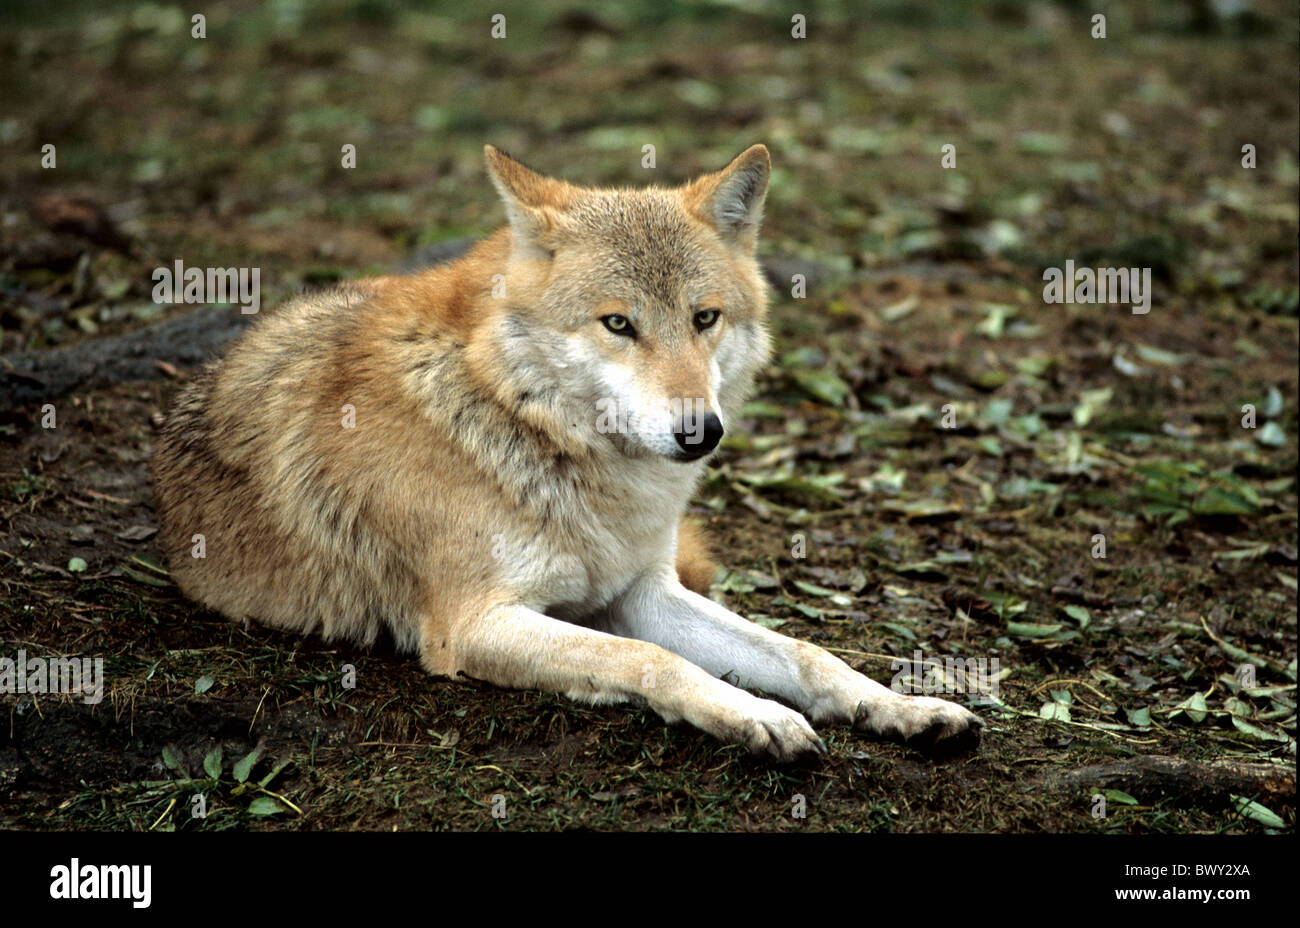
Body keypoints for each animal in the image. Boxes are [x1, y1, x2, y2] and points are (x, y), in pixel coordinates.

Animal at [151, 145, 983, 761]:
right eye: (618, 324)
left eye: (704, 317)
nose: (700, 432)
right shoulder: (472, 626)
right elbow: (646, 660)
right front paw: (758, 717)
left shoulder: (642, 591)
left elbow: (804, 653)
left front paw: (903, 707)